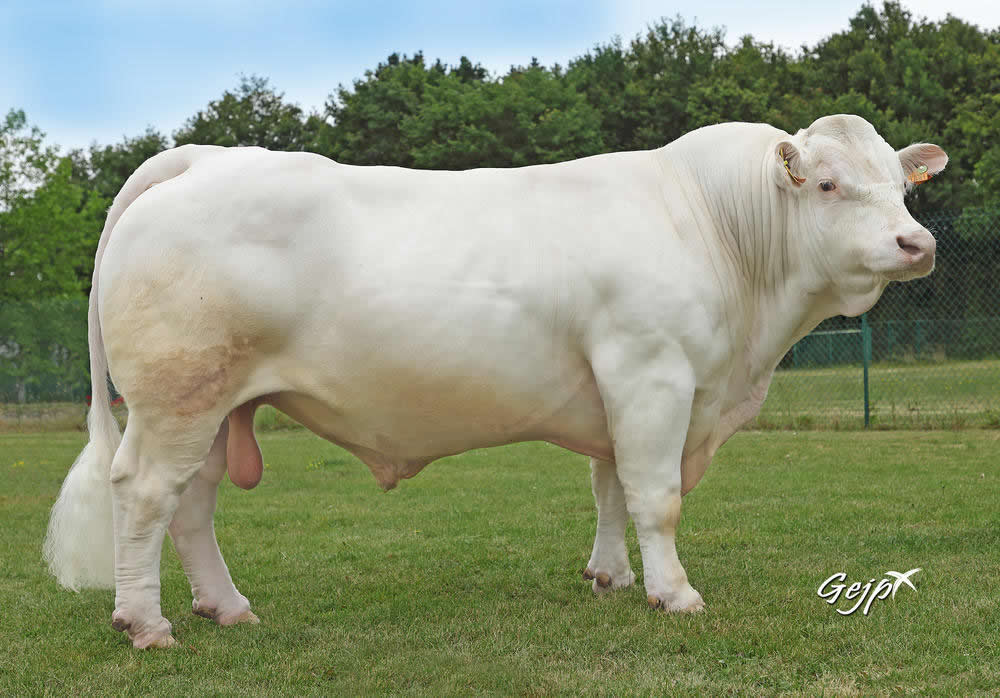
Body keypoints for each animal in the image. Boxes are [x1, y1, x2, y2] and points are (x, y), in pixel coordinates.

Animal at [44, 115, 945, 648]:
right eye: (828, 184)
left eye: (901, 185)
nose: (917, 243)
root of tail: (202, 157)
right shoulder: (651, 372)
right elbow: (655, 497)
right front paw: (675, 593)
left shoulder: (618, 389)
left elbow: (609, 487)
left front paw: (611, 577)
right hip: (175, 399)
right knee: (144, 495)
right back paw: (145, 621)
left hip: (211, 405)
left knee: (190, 507)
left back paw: (224, 605)